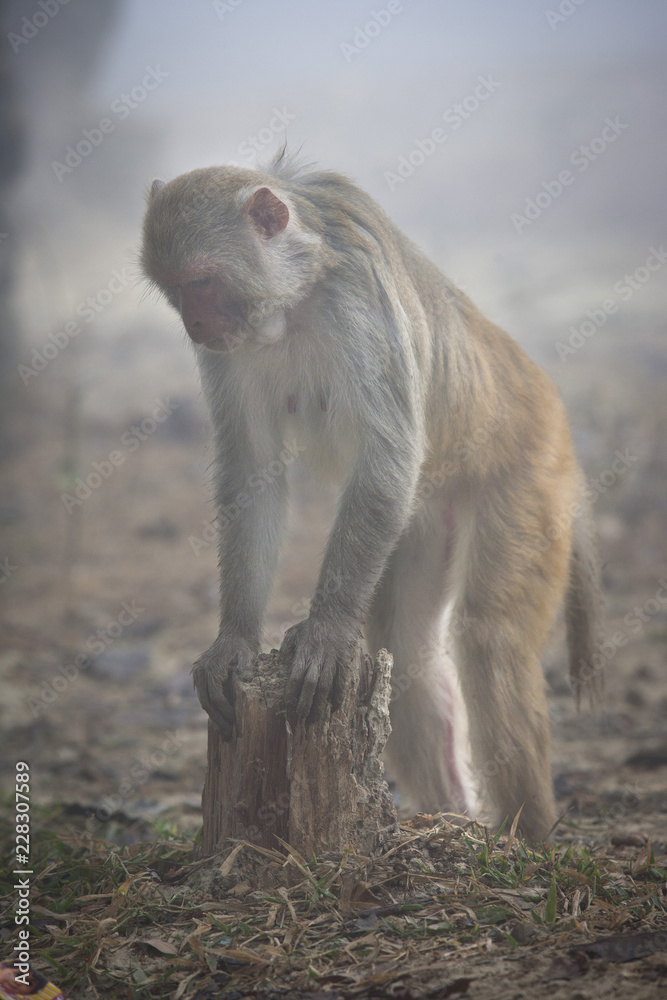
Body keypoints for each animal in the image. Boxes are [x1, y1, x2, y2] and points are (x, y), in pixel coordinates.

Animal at [140, 151, 603, 844]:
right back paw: (450, 816)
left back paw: (528, 839)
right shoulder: (234, 349)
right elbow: (253, 473)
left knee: (488, 635)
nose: (194, 326)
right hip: (427, 513)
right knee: (407, 639)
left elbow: (386, 458)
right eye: (173, 290)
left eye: (201, 282)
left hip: (530, 472)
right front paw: (235, 640)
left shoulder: (357, 301)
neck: (296, 297)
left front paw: (327, 632)